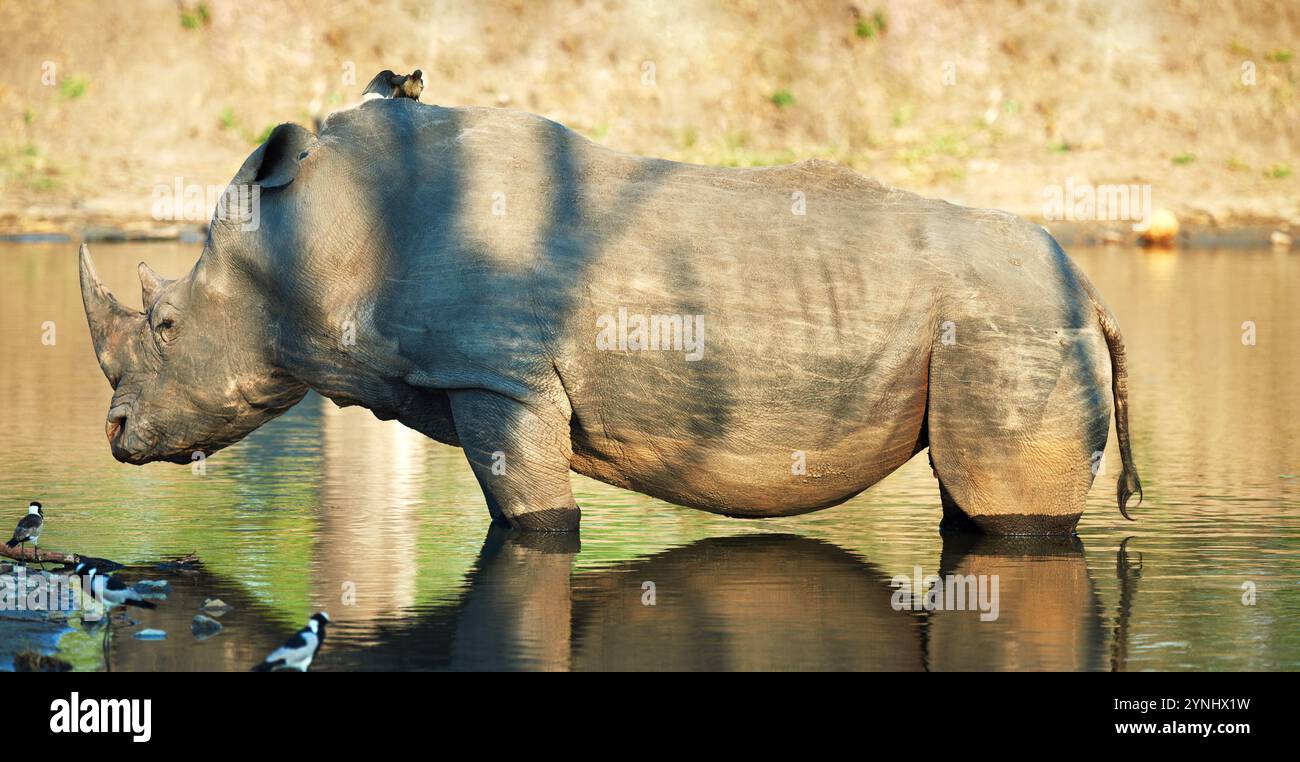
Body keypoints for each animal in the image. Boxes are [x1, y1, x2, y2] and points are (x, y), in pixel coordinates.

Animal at [79, 99, 1141, 534]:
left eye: (166, 329)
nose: (116, 433)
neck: (330, 229)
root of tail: (1093, 291)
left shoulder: (500, 377)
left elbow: (532, 514)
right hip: (1012, 316)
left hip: (1011, 322)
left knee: (1010, 523)